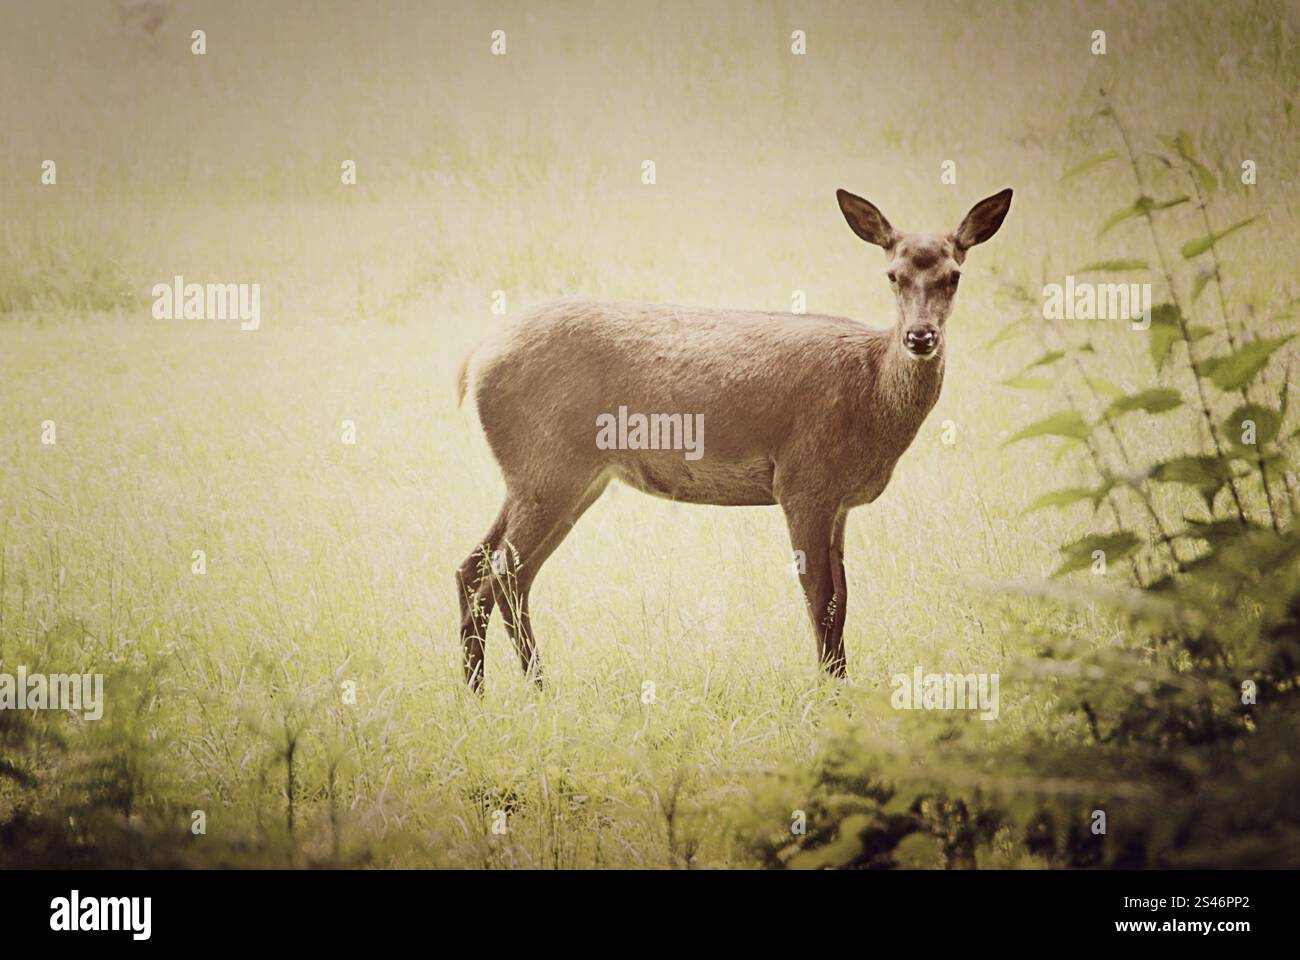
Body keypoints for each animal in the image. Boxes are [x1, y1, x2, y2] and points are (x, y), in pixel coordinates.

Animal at [455, 187, 1012, 691]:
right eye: (892, 275)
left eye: (954, 276)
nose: (920, 337)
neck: (873, 393)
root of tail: (474, 361)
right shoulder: (803, 481)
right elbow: (821, 600)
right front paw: (833, 698)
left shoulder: (839, 502)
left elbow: (842, 599)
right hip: (549, 466)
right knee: (500, 575)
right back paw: (512, 690)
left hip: (558, 477)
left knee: (484, 569)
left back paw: (502, 691)